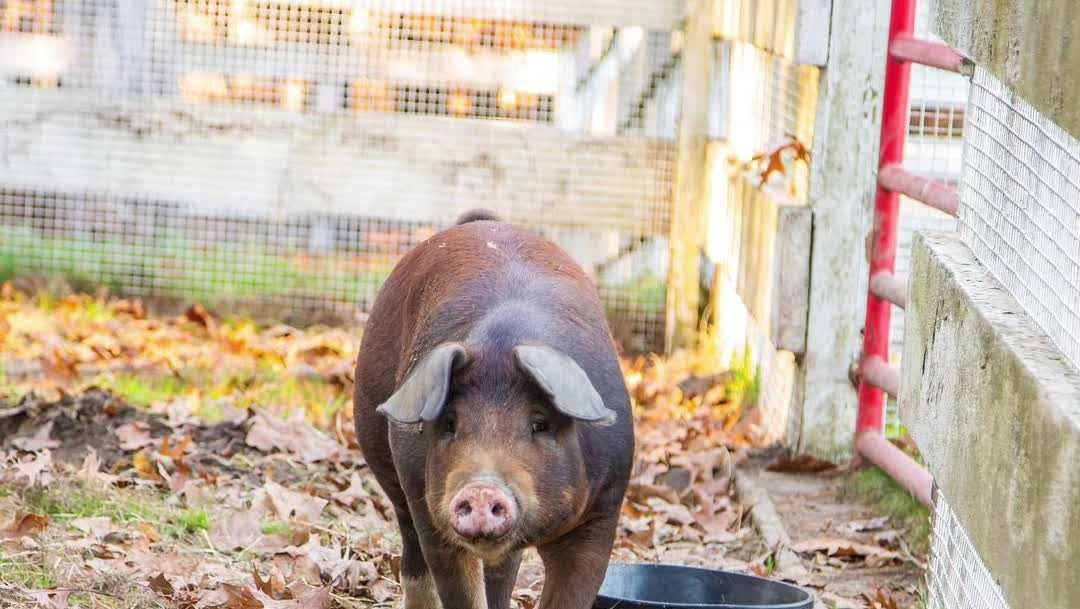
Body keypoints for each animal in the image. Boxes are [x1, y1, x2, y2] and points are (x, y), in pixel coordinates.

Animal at [354, 209, 634, 609]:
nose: (482, 488)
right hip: (385, 456)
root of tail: (483, 222)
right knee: (411, 542)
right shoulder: (435, 515)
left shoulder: (602, 512)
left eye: (539, 423)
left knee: (503, 572)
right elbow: (461, 589)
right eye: (450, 423)